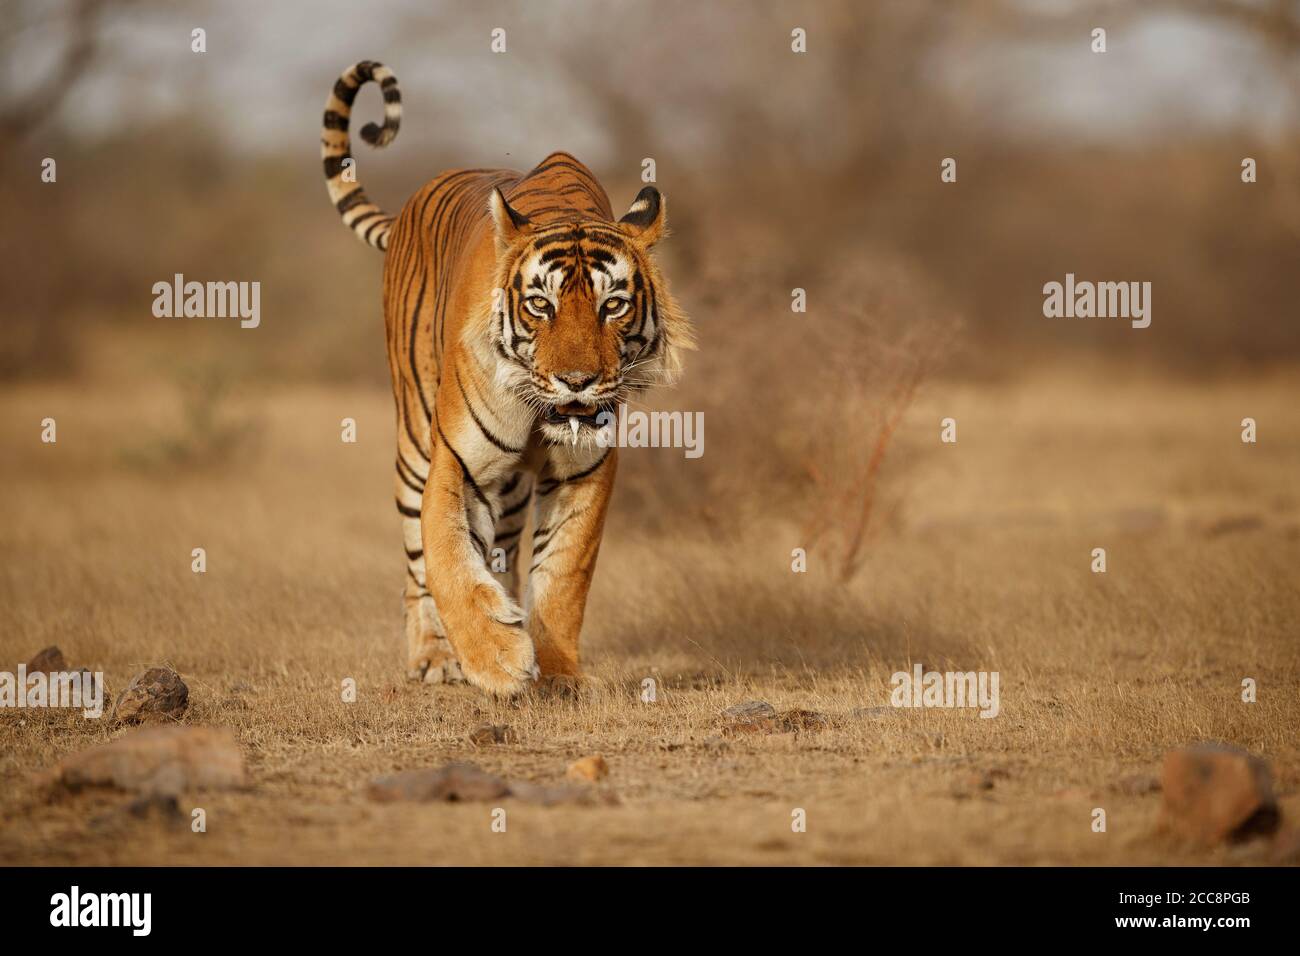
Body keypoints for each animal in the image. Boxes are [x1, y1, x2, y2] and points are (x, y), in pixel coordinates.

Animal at [321, 61, 692, 696]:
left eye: (613, 305)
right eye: (541, 304)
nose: (577, 381)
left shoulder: (584, 470)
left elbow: (563, 576)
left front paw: (557, 673)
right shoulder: (457, 461)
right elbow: (447, 558)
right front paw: (495, 659)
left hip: (513, 488)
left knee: (508, 551)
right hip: (413, 441)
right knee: (415, 563)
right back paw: (434, 656)